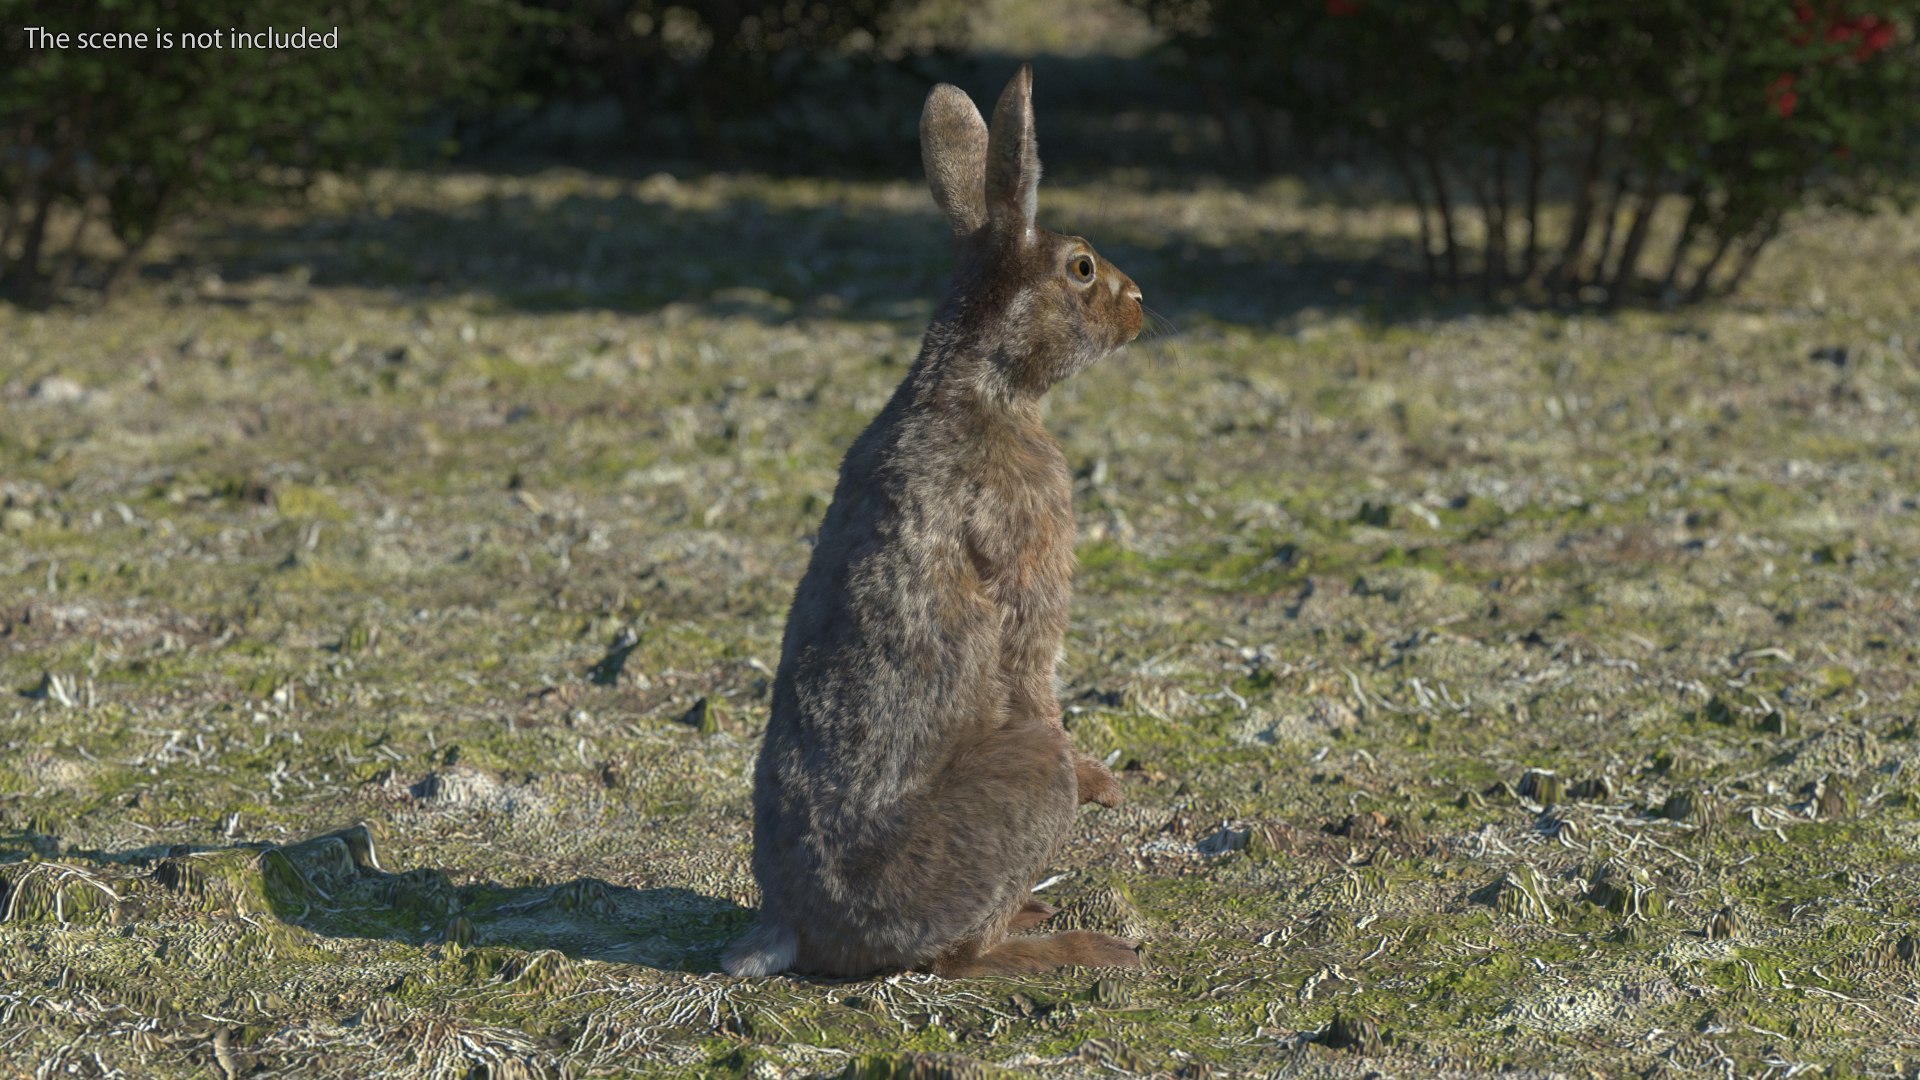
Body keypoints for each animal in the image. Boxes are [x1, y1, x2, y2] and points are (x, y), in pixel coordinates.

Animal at [722, 64, 1144, 980]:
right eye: (1080, 268)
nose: (1139, 305)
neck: (982, 383)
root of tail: (795, 925)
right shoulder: (1027, 567)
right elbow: (1033, 668)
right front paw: (1106, 784)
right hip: (1026, 784)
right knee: (960, 957)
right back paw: (1072, 942)